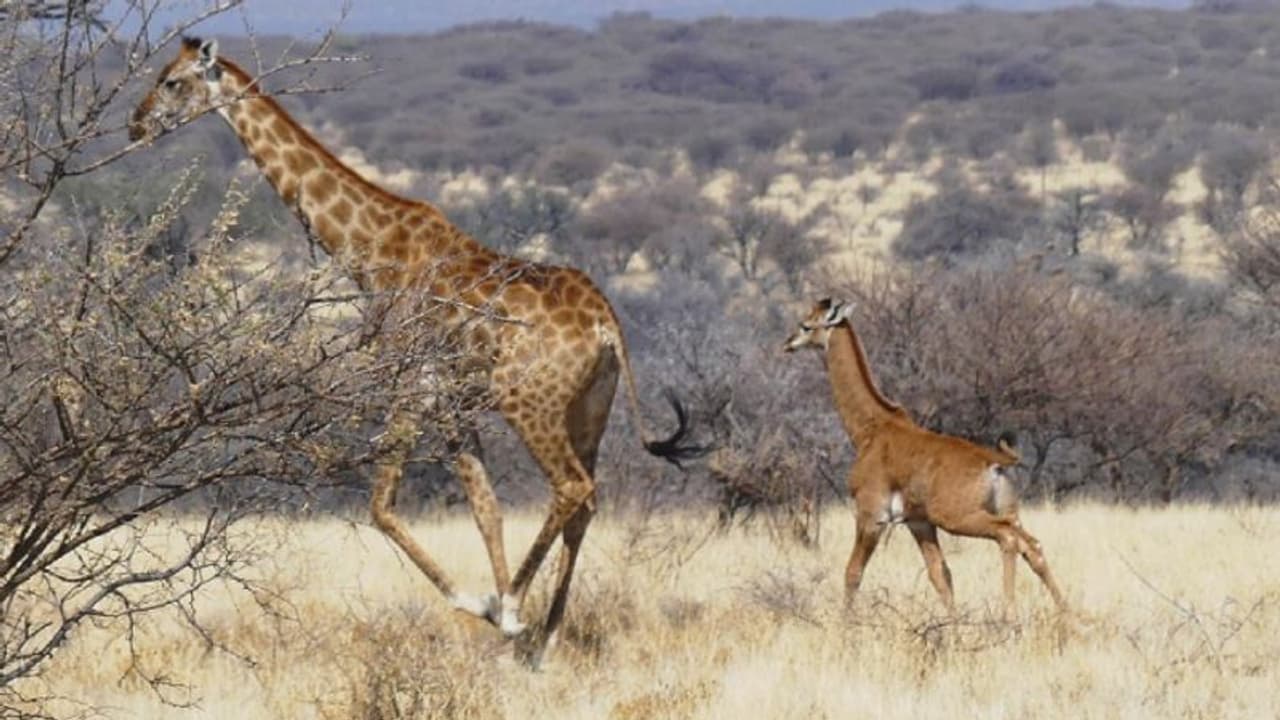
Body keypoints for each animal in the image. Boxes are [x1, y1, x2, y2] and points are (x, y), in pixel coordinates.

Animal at [129, 37, 703, 665]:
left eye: (172, 81)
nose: (135, 124)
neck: (372, 250)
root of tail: (606, 323)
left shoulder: (411, 380)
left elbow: (381, 505)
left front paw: (491, 606)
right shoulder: (451, 397)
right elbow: (486, 505)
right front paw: (501, 615)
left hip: (527, 399)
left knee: (572, 488)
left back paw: (517, 610)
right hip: (589, 407)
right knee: (587, 502)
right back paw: (544, 639)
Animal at [784, 298, 1068, 613]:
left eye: (807, 325)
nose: (788, 344)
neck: (873, 428)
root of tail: (995, 463)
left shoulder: (872, 516)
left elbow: (853, 572)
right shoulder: (918, 522)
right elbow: (940, 575)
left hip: (960, 518)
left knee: (1008, 538)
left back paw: (1009, 613)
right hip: (1007, 513)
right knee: (1032, 546)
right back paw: (1065, 613)